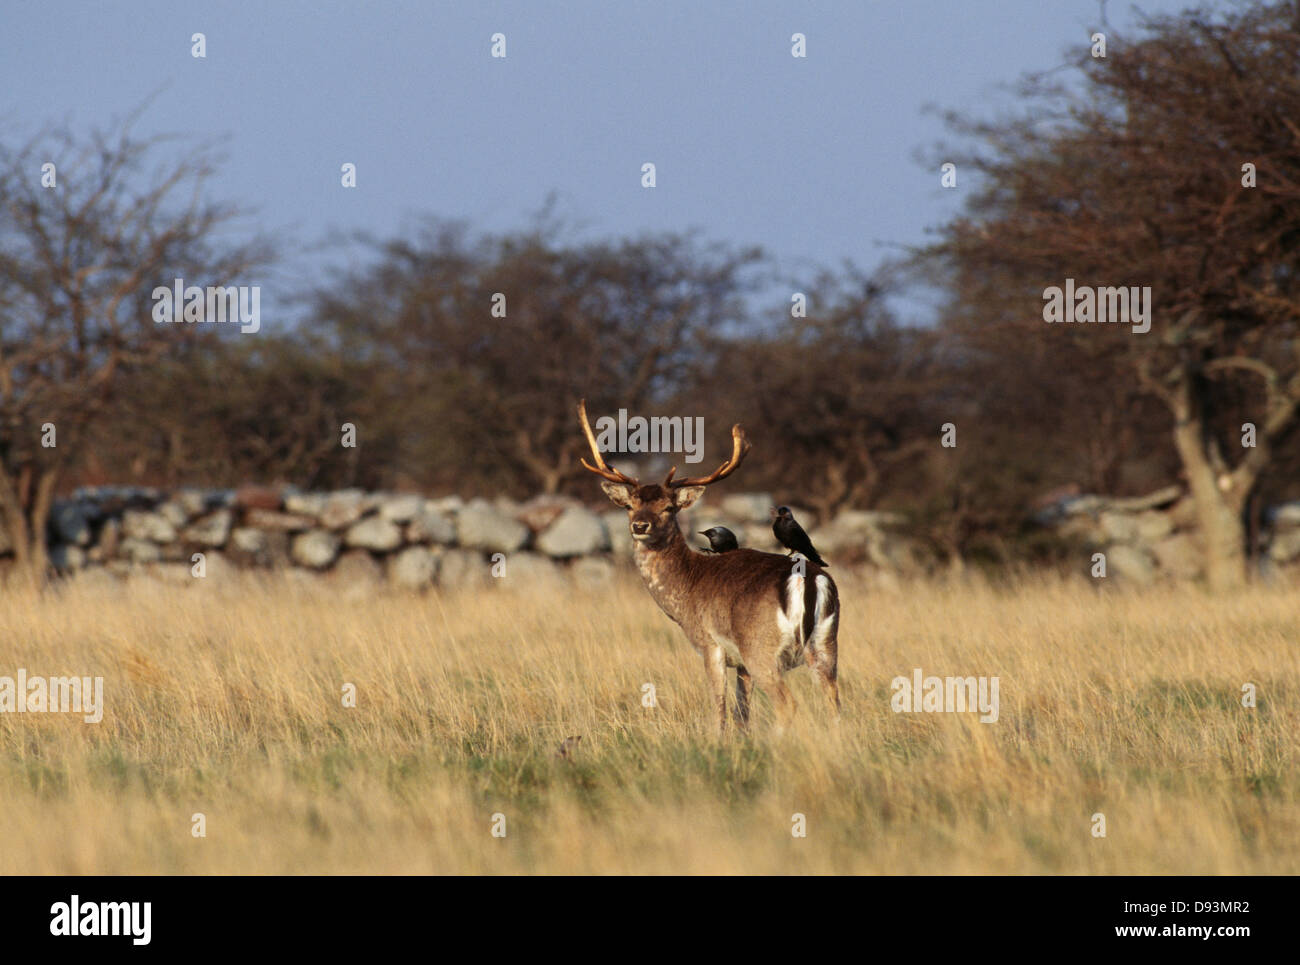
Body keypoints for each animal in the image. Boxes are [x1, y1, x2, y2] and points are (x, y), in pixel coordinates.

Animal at [578, 399, 840, 733]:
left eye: (669, 507)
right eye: (629, 505)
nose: (640, 525)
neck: (685, 592)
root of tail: (810, 582)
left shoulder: (710, 644)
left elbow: (721, 711)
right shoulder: (740, 663)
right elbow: (742, 715)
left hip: (762, 648)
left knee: (787, 704)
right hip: (826, 645)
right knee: (835, 703)